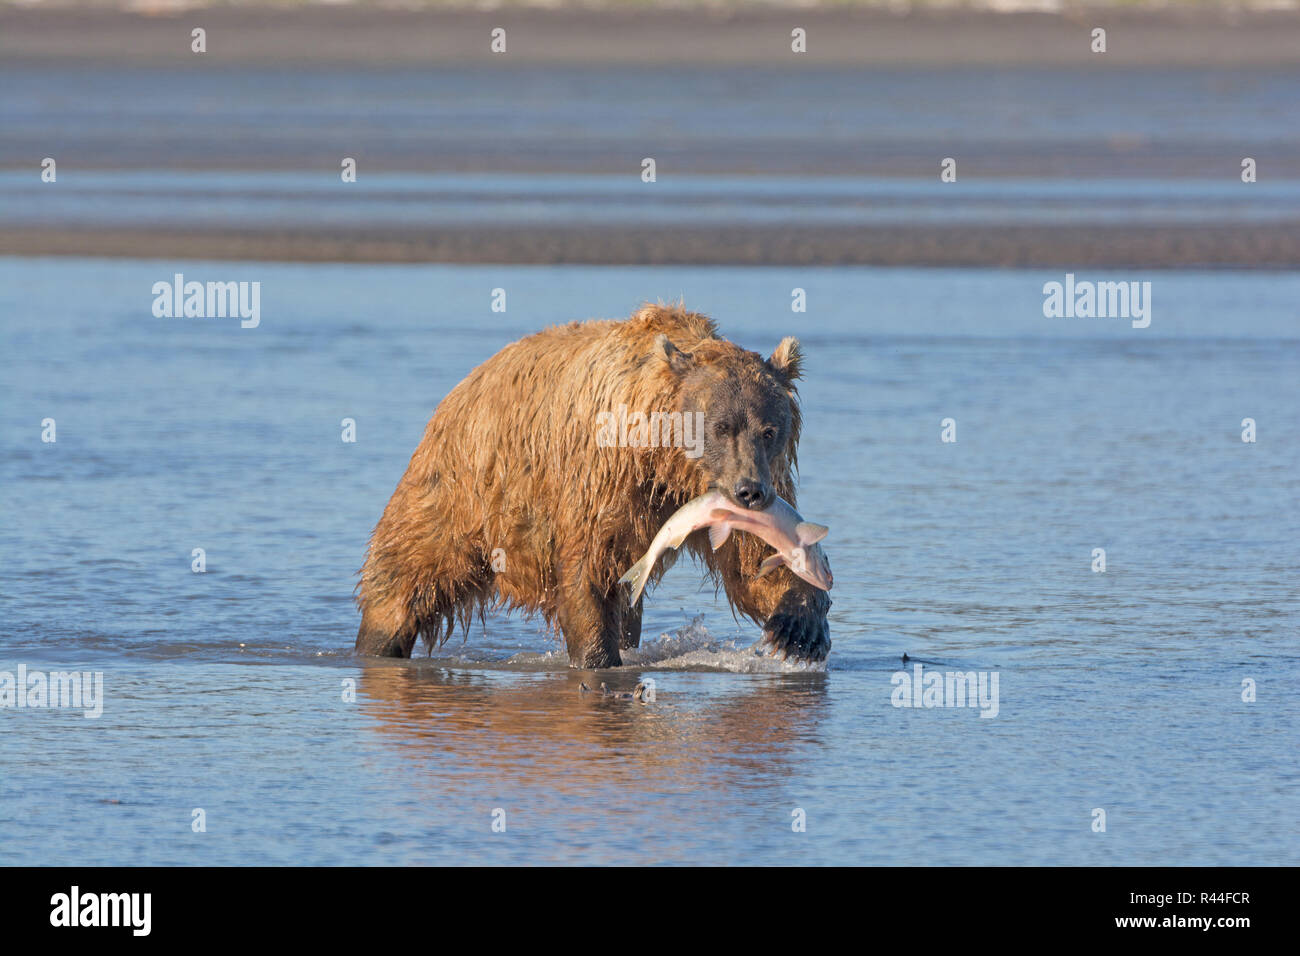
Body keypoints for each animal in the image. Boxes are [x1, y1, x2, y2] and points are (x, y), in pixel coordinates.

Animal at [354, 303, 831, 668]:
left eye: (769, 430)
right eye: (721, 427)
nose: (750, 491)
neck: (662, 460)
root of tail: (462, 388)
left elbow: (753, 564)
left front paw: (798, 628)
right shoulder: (599, 476)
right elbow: (587, 567)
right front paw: (598, 660)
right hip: (460, 490)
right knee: (406, 575)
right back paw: (377, 642)